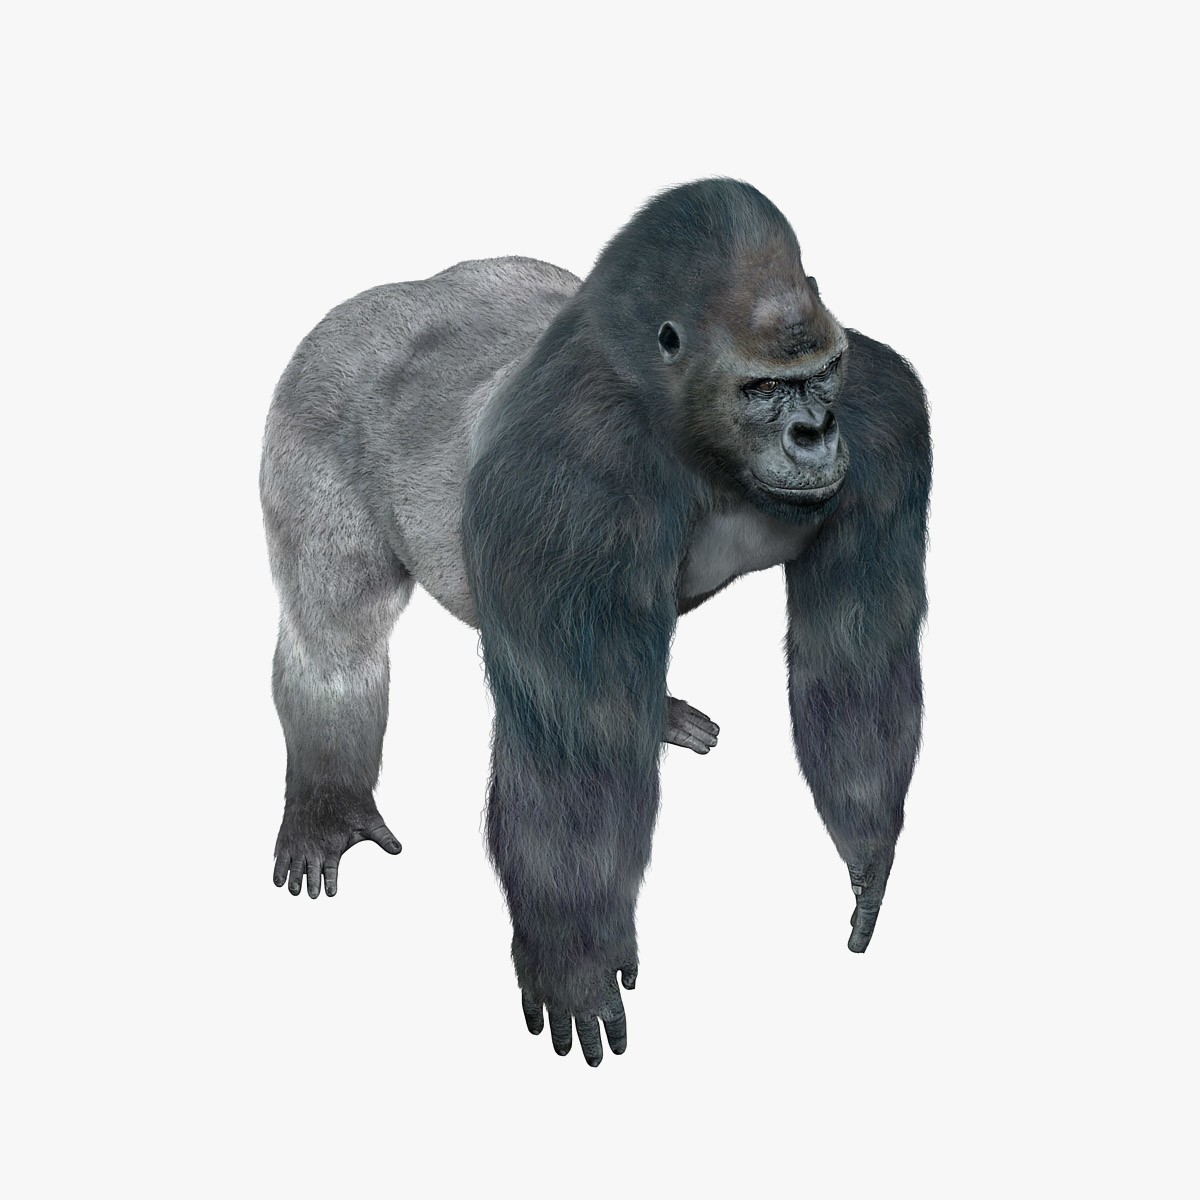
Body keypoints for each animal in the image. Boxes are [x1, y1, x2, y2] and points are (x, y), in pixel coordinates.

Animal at [260, 178, 931, 1067]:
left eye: (822, 375)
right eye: (762, 388)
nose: (815, 433)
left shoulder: (884, 416)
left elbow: (855, 657)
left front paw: (868, 854)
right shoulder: (568, 490)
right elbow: (575, 754)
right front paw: (574, 958)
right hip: (318, 382)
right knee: (336, 638)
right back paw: (328, 799)